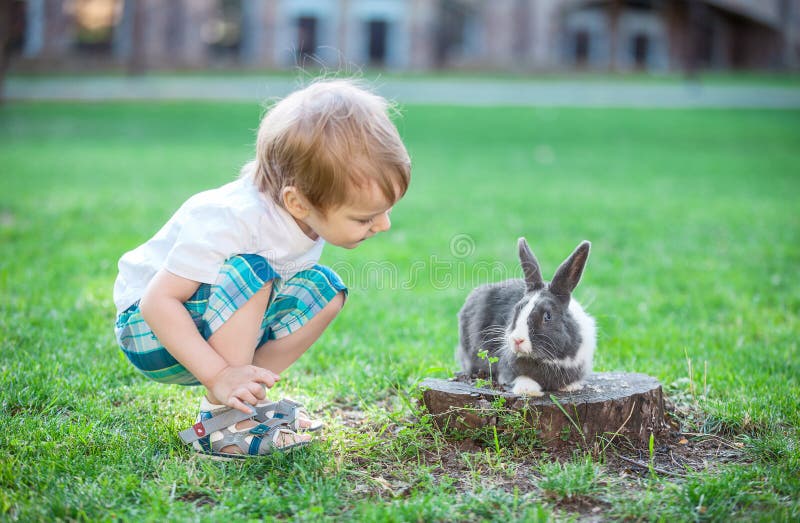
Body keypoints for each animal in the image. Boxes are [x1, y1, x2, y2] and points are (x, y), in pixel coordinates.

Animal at [456, 238, 596, 396]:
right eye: (517, 309)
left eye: (547, 316)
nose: (517, 340)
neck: (547, 358)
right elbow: (522, 377)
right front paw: (528, 390)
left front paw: (571, 387)